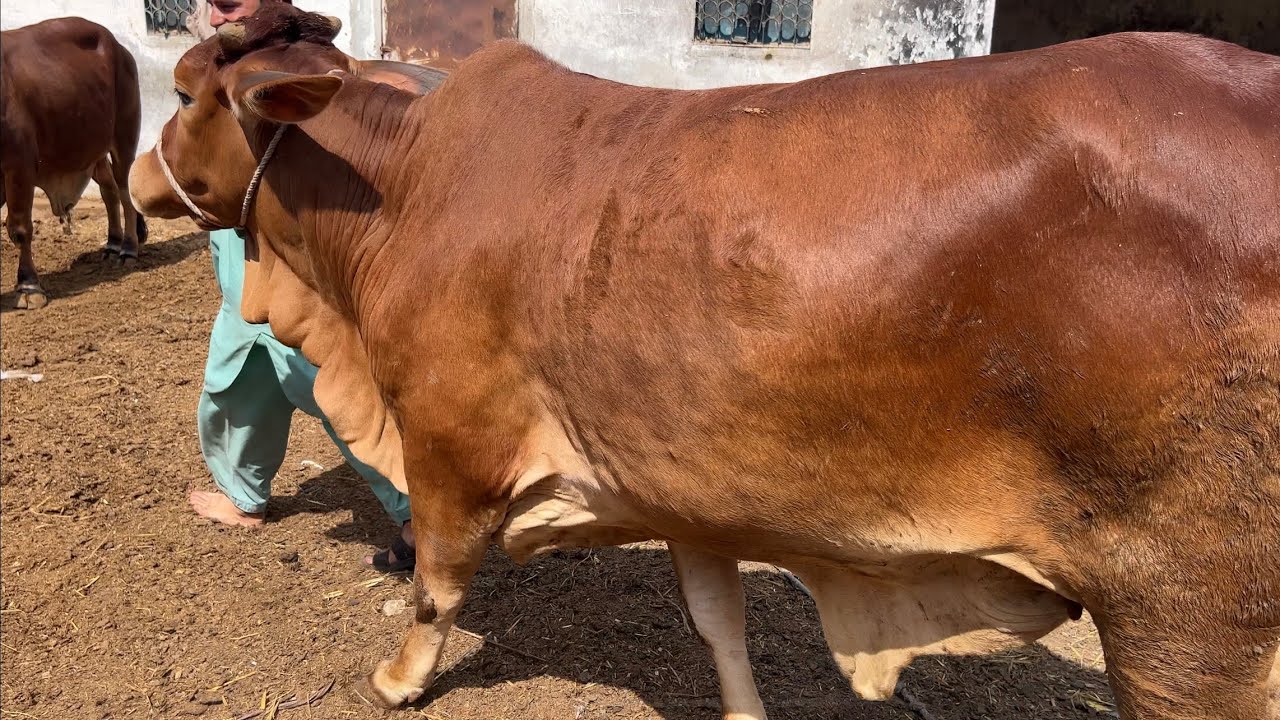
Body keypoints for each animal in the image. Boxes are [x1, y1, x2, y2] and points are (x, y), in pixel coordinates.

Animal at [1, 17, 148, 309]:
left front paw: (29, 286)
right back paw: (112, 243)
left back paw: (128, 248)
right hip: (93, 152)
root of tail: (118, 47)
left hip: (124, 137)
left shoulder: (19, 165)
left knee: (125, 192)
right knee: (109, 191)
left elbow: (20, 228)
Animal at [129, 6, 1280, 719]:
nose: (139, 176)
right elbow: (717, 624)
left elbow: (438, 583)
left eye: (184, 96)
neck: (395, 188)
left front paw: (397, 678)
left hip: (1185, 623)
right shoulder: (685, 482)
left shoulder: (453, 439)